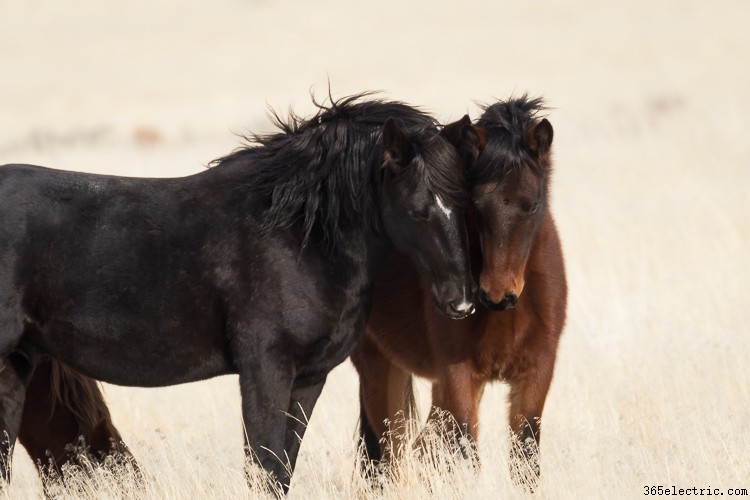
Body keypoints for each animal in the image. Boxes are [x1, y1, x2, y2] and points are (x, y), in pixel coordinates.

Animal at [0, 95, 478, 494]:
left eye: (466, 205)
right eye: (418, 210)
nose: (461, 302)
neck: (300, 239)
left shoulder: (309, 378)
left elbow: (281, 470)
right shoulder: (264, 371)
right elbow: (265, 467)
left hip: (17, 366)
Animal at [352, 95, 568, 486]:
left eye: (532, 204)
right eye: (476, 204)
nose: (497, 294)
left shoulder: (537, 372)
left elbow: (525, 460)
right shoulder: (460, 376)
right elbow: (465, 452)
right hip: (379, 368)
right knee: (390, 455)